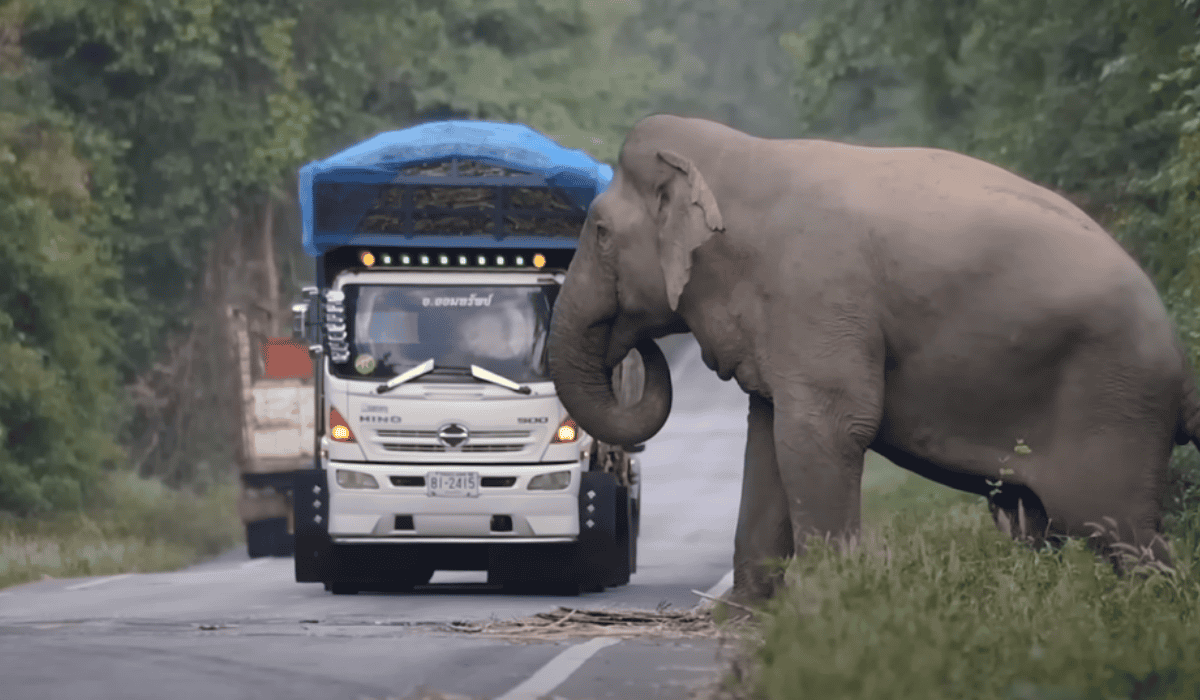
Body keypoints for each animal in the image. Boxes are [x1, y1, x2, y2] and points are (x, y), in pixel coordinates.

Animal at [547, 114, 1200, 603]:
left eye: (600, 232)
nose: (637, 343)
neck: (739, 158)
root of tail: (1177, 347)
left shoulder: (818, 294)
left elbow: (828, 430)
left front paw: (821, 608)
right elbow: (769, 434)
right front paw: (745, 616)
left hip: (1114, 404)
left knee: (1117, 530)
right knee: (1035, 525)